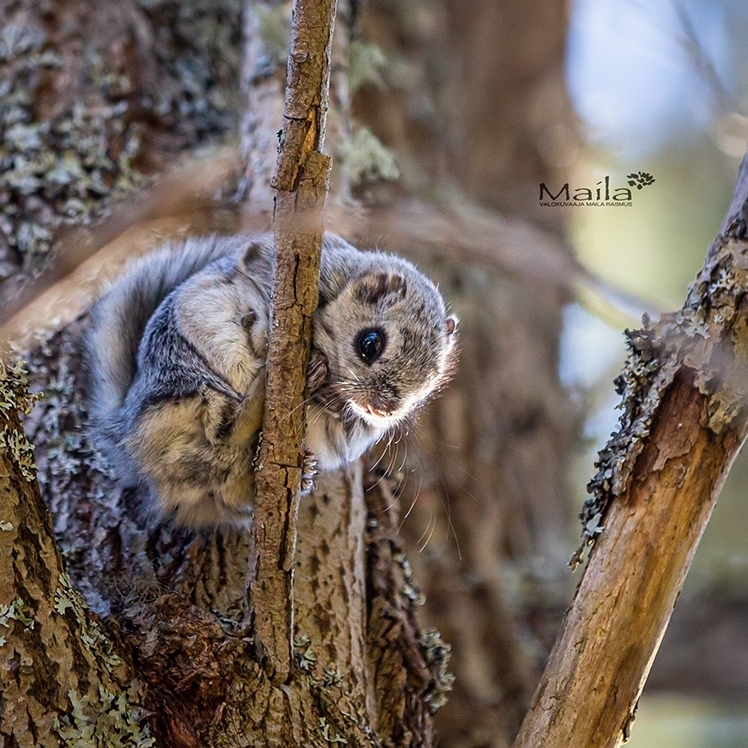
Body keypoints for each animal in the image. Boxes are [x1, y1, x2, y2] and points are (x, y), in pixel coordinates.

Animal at [85, 232, 458, 527]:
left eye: (429, 381)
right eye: (370, 343)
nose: (382, 409)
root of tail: (130, 435)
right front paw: (315, 367)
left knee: (229, 483)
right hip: (192, 365)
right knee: (221, 425)